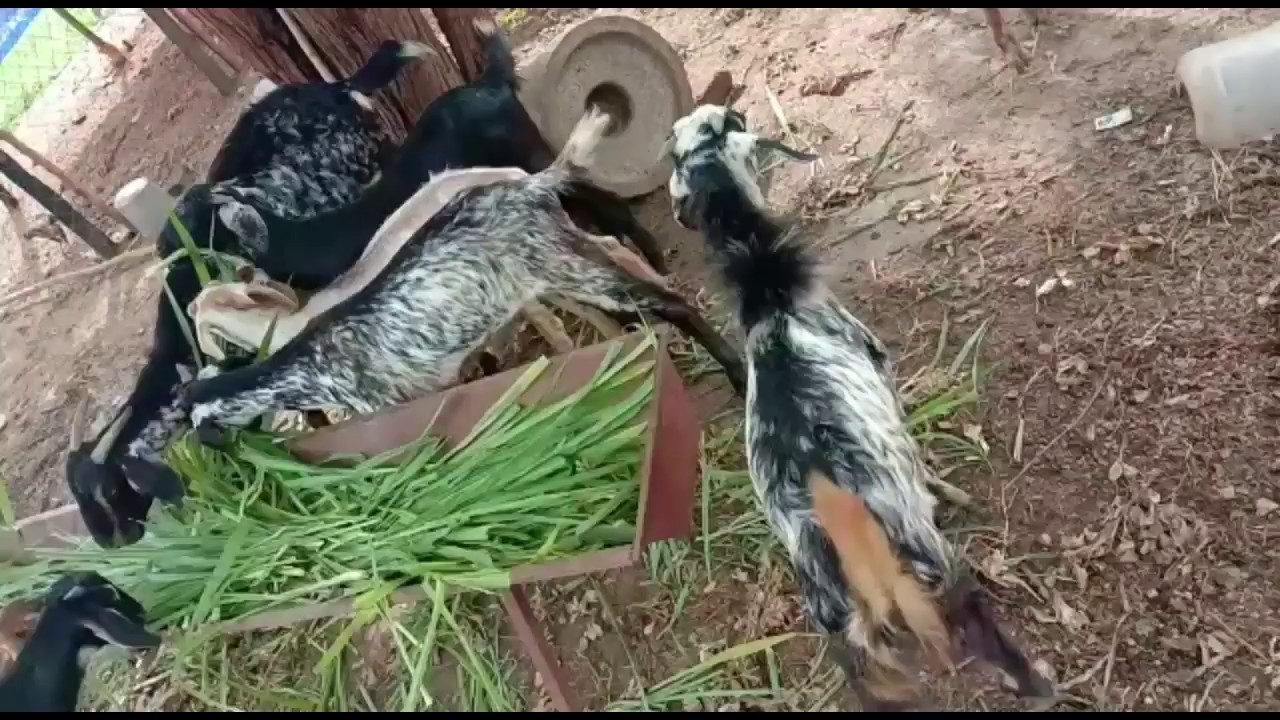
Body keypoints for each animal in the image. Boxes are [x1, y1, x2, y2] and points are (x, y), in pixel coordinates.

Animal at [182, 105, 745, 443]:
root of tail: (525, 183)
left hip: (557, 263)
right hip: (555, 259)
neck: (302, 346)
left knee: (645, 290)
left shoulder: (391, 396)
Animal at [662, 105, 1053, 709]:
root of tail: (824, 491)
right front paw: (951, 491)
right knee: (974, 619)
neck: (772, 301)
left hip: (834, 607)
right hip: (923, 552)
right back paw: (1039, 682)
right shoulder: (880, 371)